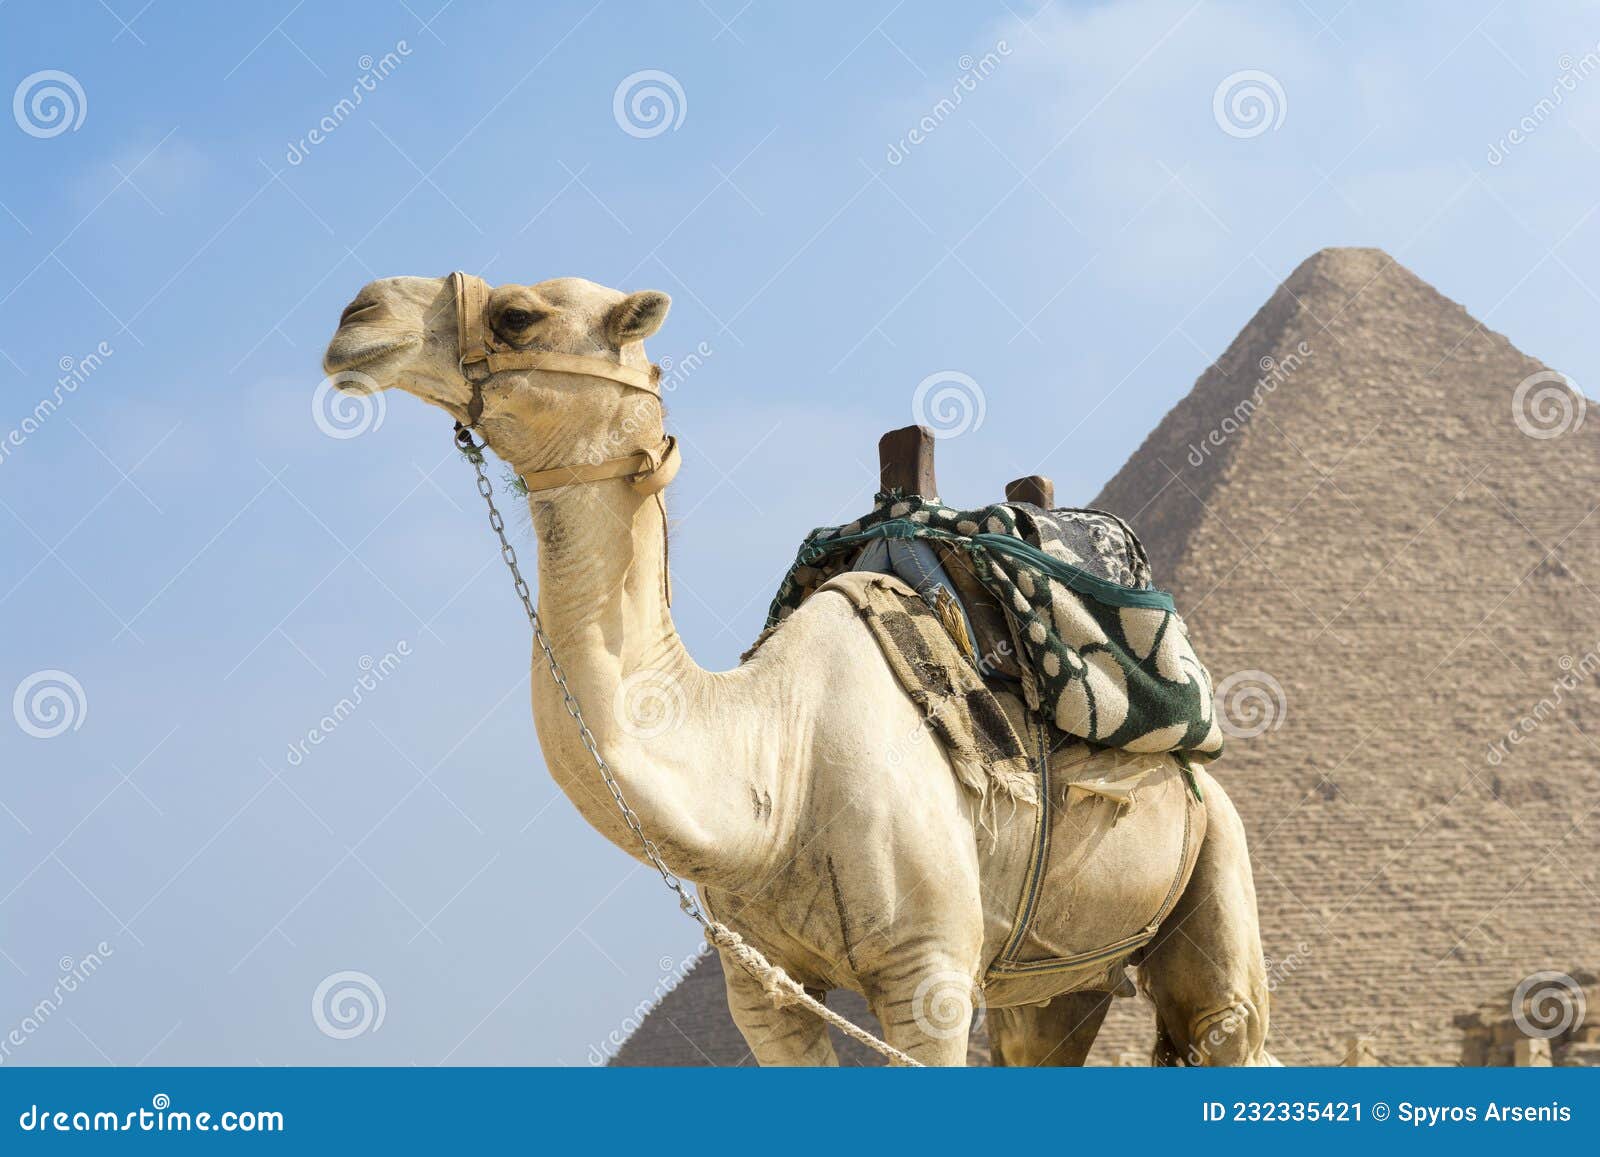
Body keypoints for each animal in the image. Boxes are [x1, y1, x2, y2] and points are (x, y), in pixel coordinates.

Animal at [321, 272, 1274, 1066]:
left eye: (517, 315)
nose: (355, 318)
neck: (775, 760)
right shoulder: (763, 989)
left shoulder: (930, 976)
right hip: (1050, 982)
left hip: (1217, 861)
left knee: (1226, 1023)